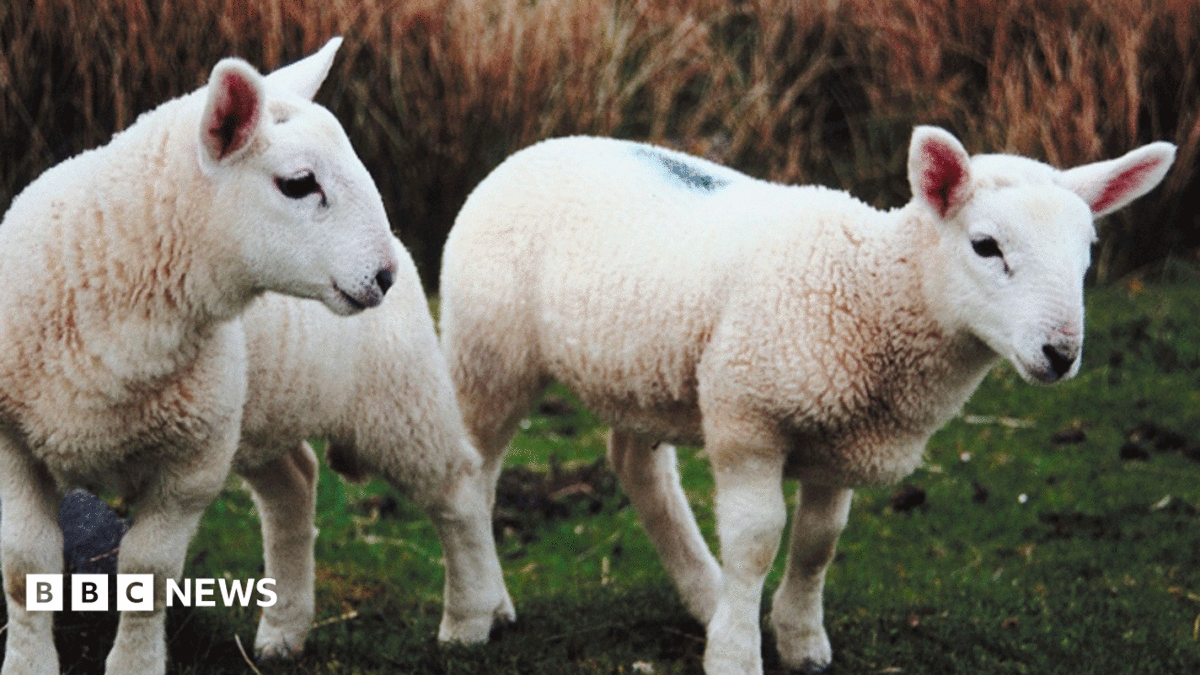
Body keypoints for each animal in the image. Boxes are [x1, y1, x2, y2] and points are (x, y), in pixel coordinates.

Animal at [0, 38, 397, 675]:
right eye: (298, 184)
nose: (385, 275)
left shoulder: (193, 464)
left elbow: (146, 574)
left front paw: (133, 666)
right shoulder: (14, 445)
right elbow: (24, 567)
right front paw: (27, 665)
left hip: (401, 400)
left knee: (459, 492)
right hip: (257, 416)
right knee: (296, 481)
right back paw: (283, 632)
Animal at [234, 236, 514, 660]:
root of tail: (393, 243)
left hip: (398, 404)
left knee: (460, 492)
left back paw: (467, 624)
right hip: (264, 414)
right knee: (292, 485)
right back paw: (280, 636)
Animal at [437, 128, 1175, 675]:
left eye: (1087, 254)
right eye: (986, 245)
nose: (1061, 352)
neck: (871, 291)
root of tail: (536, 147)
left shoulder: (843, 439)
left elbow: (820, 541)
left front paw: (799, 641)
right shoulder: (749, 419)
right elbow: (758, 538)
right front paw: (736, 654)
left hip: (644, 371)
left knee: (636, 465)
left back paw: (705, 594)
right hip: (489, 351)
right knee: (471, 478)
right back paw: (475, 610)